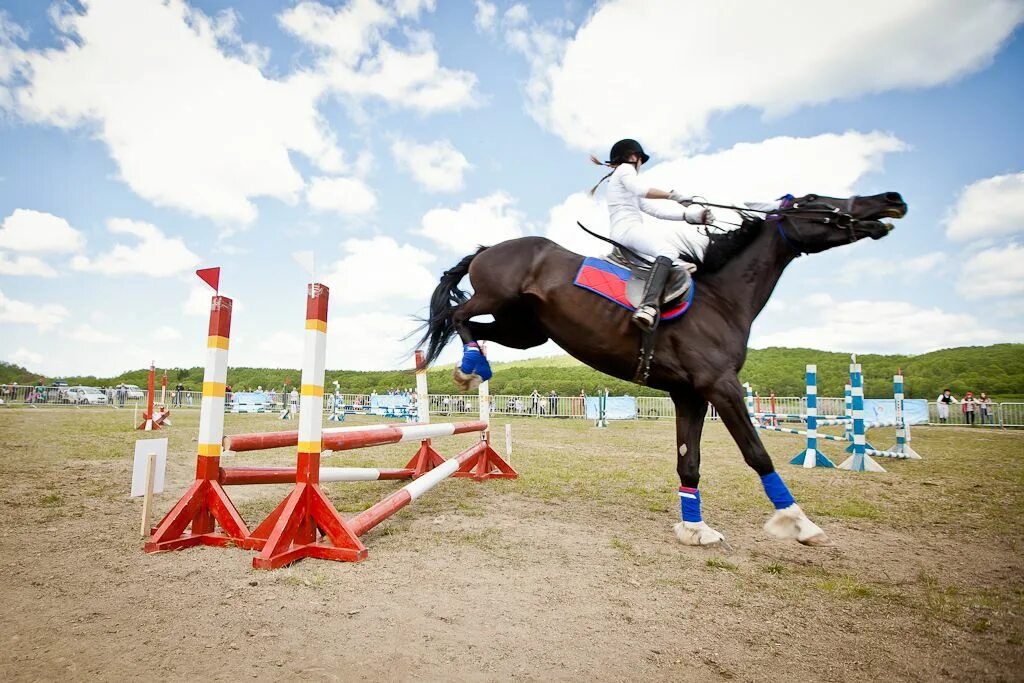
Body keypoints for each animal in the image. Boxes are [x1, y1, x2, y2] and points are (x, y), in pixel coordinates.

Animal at [419, 192, 909, 548]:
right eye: (816, 199)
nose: (891, 200)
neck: (721, 300)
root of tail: (491, 248)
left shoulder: (689, 394)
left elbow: (688, 463)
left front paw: (695, 528)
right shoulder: (721, 386)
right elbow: (757, 454)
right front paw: (796, 521)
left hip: (526, 330)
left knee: (473, 323)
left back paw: (475, 366)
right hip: (499, 299)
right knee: (459, 313)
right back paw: (470, 367)